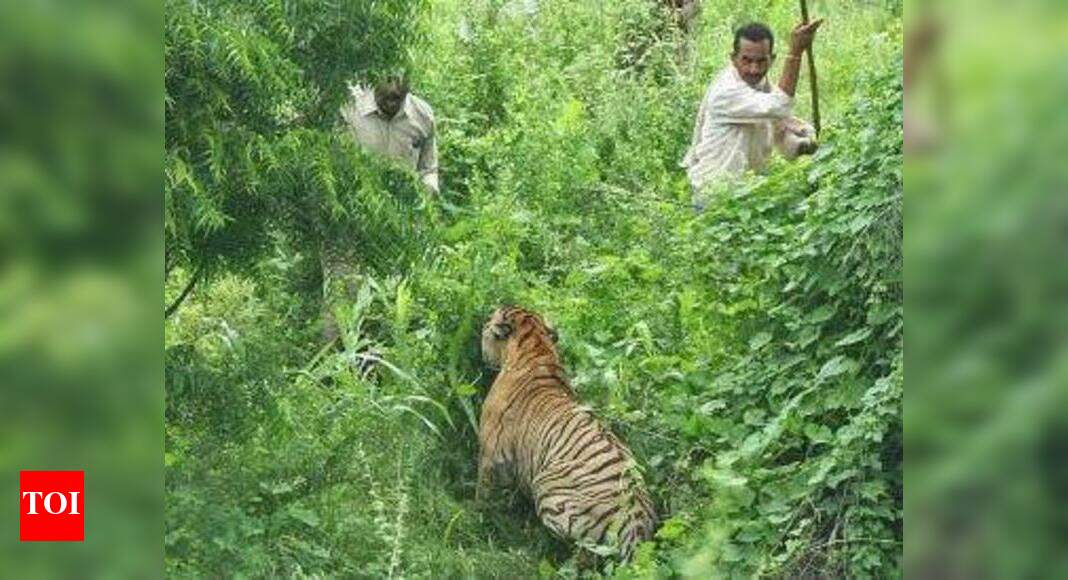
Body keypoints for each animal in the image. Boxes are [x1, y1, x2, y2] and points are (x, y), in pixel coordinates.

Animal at [477, 305, 658, 561]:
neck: (536, 347)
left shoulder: (491, 453)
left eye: (487, 322)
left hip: (546, 488)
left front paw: (476, 517)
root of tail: (637, 525)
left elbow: (483, 493)